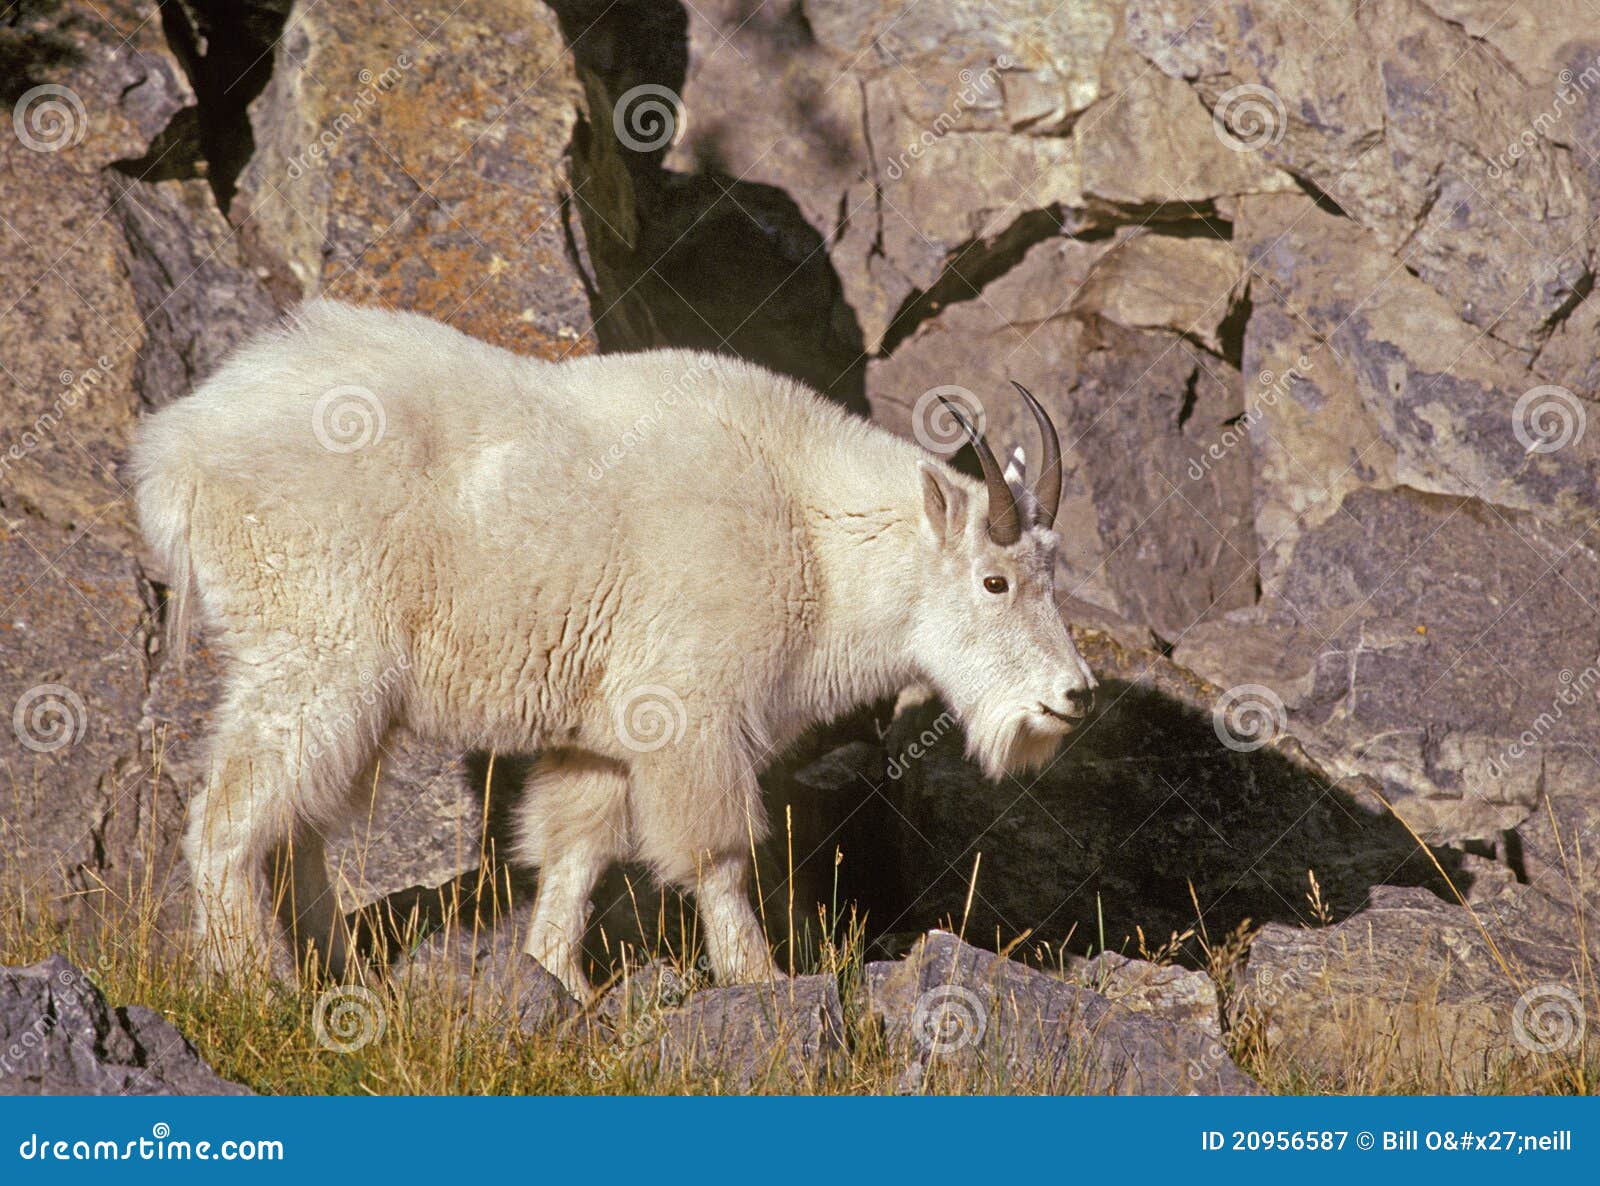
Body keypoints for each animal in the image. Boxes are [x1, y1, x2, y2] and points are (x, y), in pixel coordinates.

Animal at [130, 299, 1097, 998]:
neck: (815, 539)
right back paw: (254, 985)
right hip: (316, 657)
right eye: (995, 581)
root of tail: (179, 451)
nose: (1073, 697)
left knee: (299, 826)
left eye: (1053, 572)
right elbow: (716, 853)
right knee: (229, 818)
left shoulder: (599, 736)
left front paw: (556, 977)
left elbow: (576, 850)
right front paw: (758, 978)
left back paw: (345, 972)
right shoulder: (691, 713)